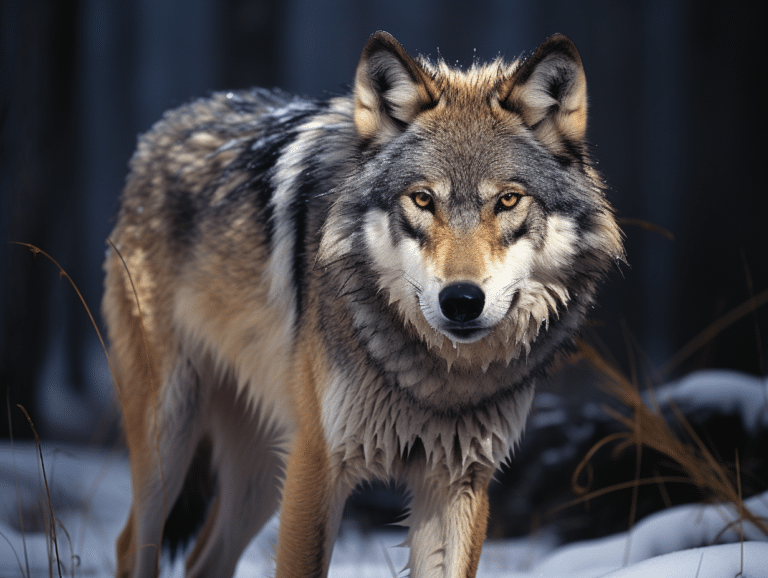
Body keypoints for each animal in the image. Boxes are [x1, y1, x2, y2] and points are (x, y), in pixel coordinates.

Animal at [103, 31, 624, 578]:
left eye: (507, 200)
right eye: (422, 200)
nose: (461, 301)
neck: (437, 381)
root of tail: (167, 123)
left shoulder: (460, 480)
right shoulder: (317, 464)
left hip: (262, 468)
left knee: (203, 558)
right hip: (172, 433)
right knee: (131, 544)